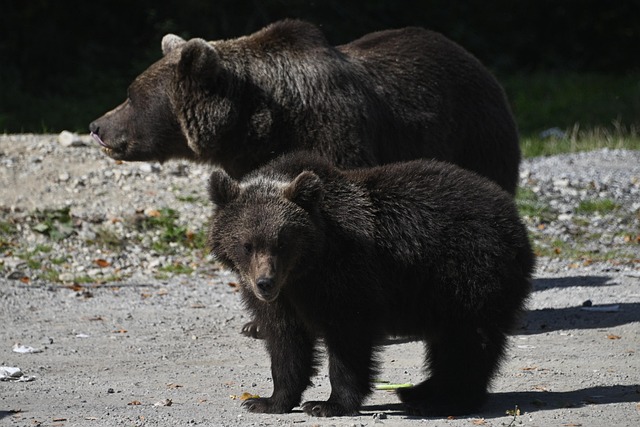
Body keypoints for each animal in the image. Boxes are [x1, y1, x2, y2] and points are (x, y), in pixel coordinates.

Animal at [207, 151, 534, 417]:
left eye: (282, 242)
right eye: (247, 244)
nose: (265, 283)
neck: (306, 269)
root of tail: (515, 216)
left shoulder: (347, 276)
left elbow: (349, 340)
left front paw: (327, 404)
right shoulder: (285, 298)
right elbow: (286, 342)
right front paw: (266, 401)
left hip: (468, 273)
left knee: (467, 339)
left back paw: (446, 401)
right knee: (447, 342)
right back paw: (419, 389)